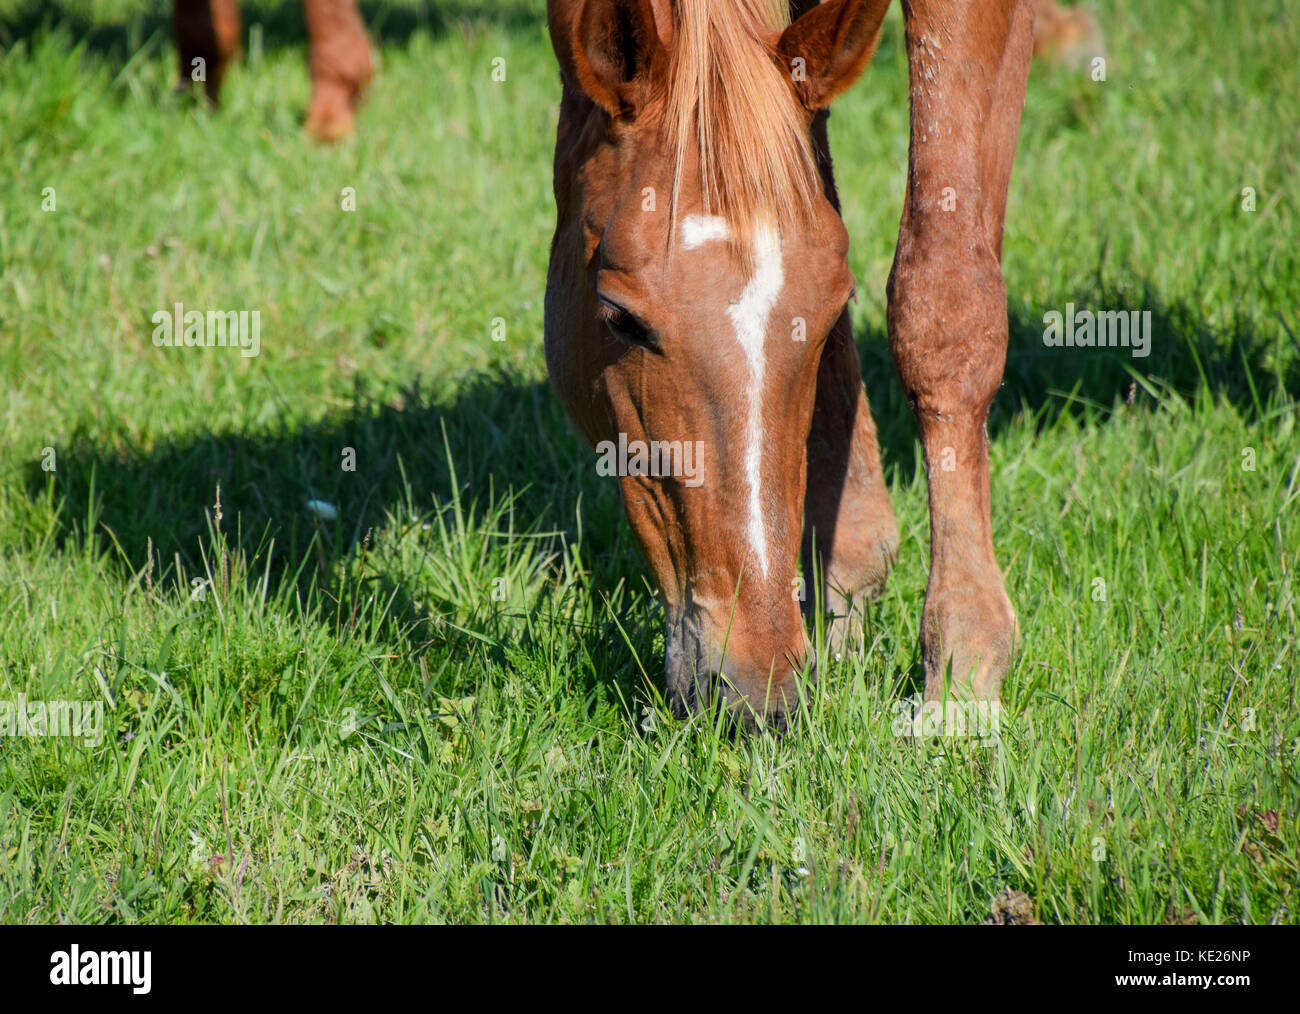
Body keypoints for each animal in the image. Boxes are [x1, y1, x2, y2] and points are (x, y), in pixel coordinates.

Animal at [544, 0, 1082, 726]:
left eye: (825, 315)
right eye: (619, 317)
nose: (757, 690)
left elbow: (944, 297)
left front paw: (962, 669)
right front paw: (848, 581)